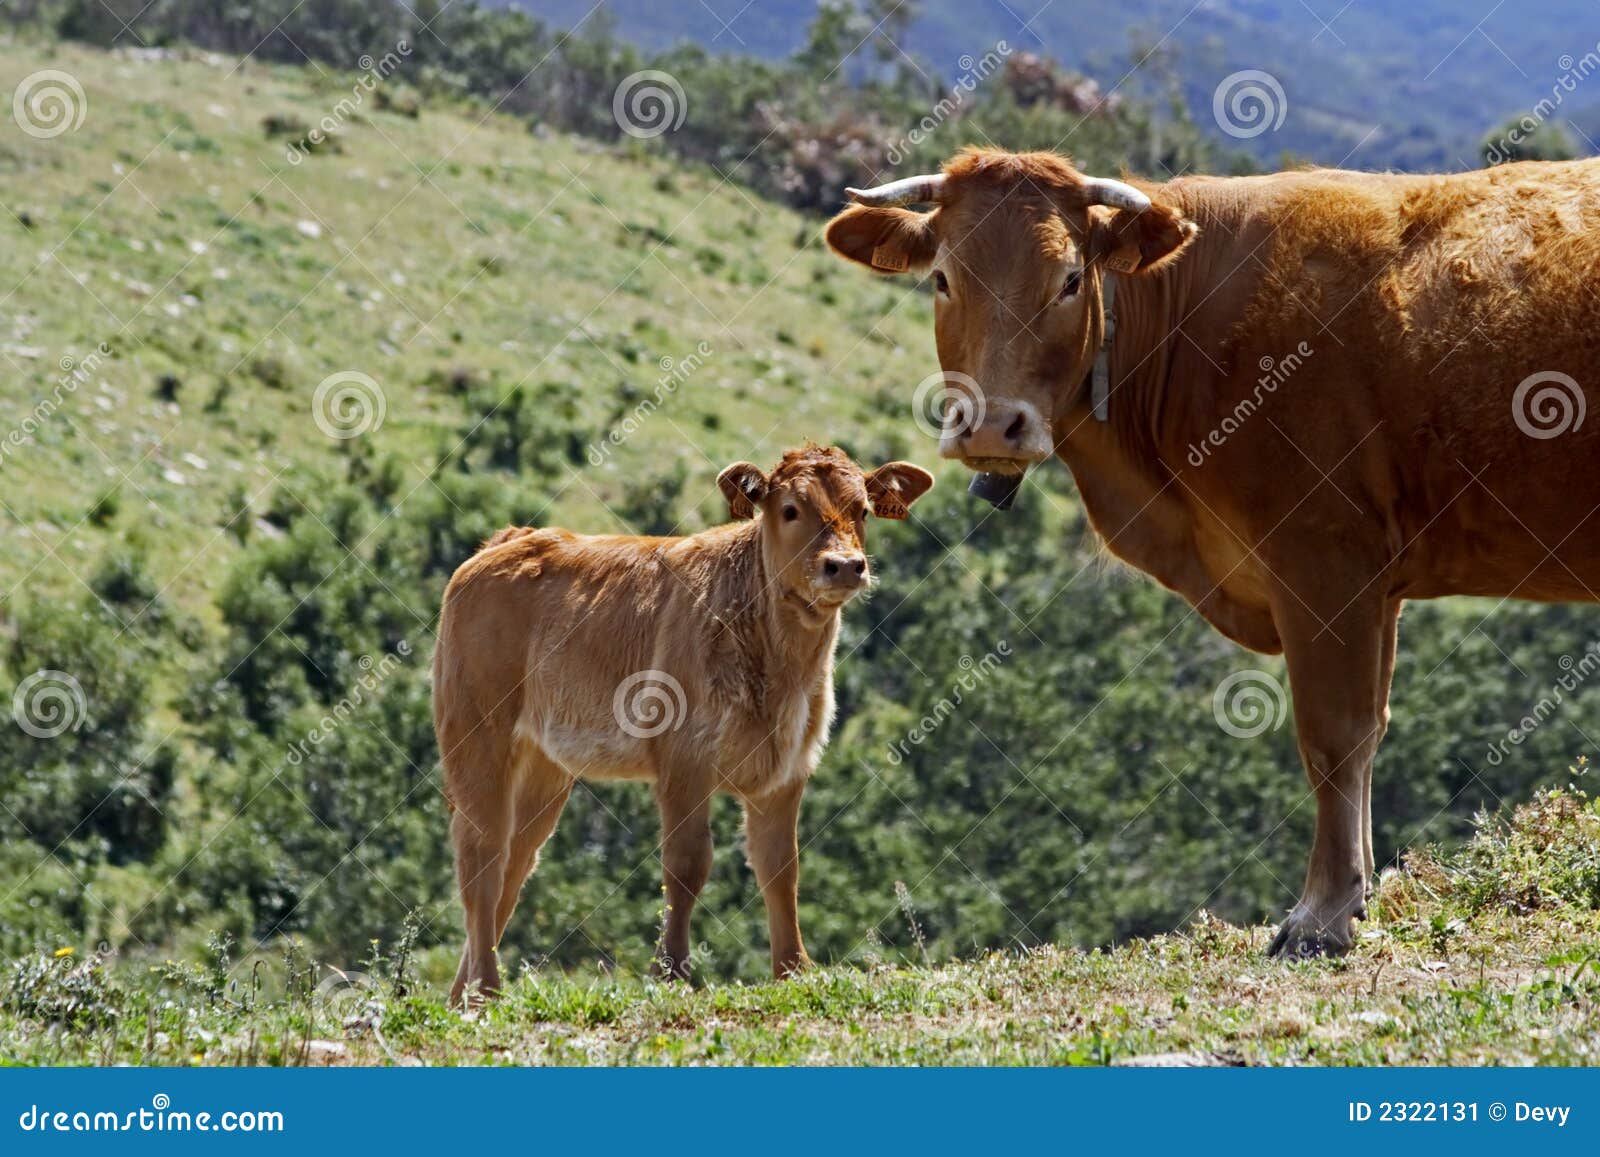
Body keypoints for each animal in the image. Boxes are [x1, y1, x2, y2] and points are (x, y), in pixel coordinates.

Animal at [433, 445, 933, 1003]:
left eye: (863, 510)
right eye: (789, 510)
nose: (844, 565)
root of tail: (511, 539)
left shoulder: (787, 766)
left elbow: (780, 867)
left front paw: (793, 969)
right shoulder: (684, 758)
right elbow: (687, 863)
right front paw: (670, 971)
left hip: (545, 760)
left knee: (517, 858)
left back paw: (462, 993)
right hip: (476, 730)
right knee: (481, 852)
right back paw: (485, 987)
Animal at [825, 145, 1600, 958]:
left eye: (1069, 280)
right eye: (943, 278)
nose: (990, 426)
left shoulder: (1321, 558)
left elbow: (1334, 736)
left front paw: (1322, 913)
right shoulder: (1371, 580)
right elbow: (1369, 731)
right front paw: (1357, 898)